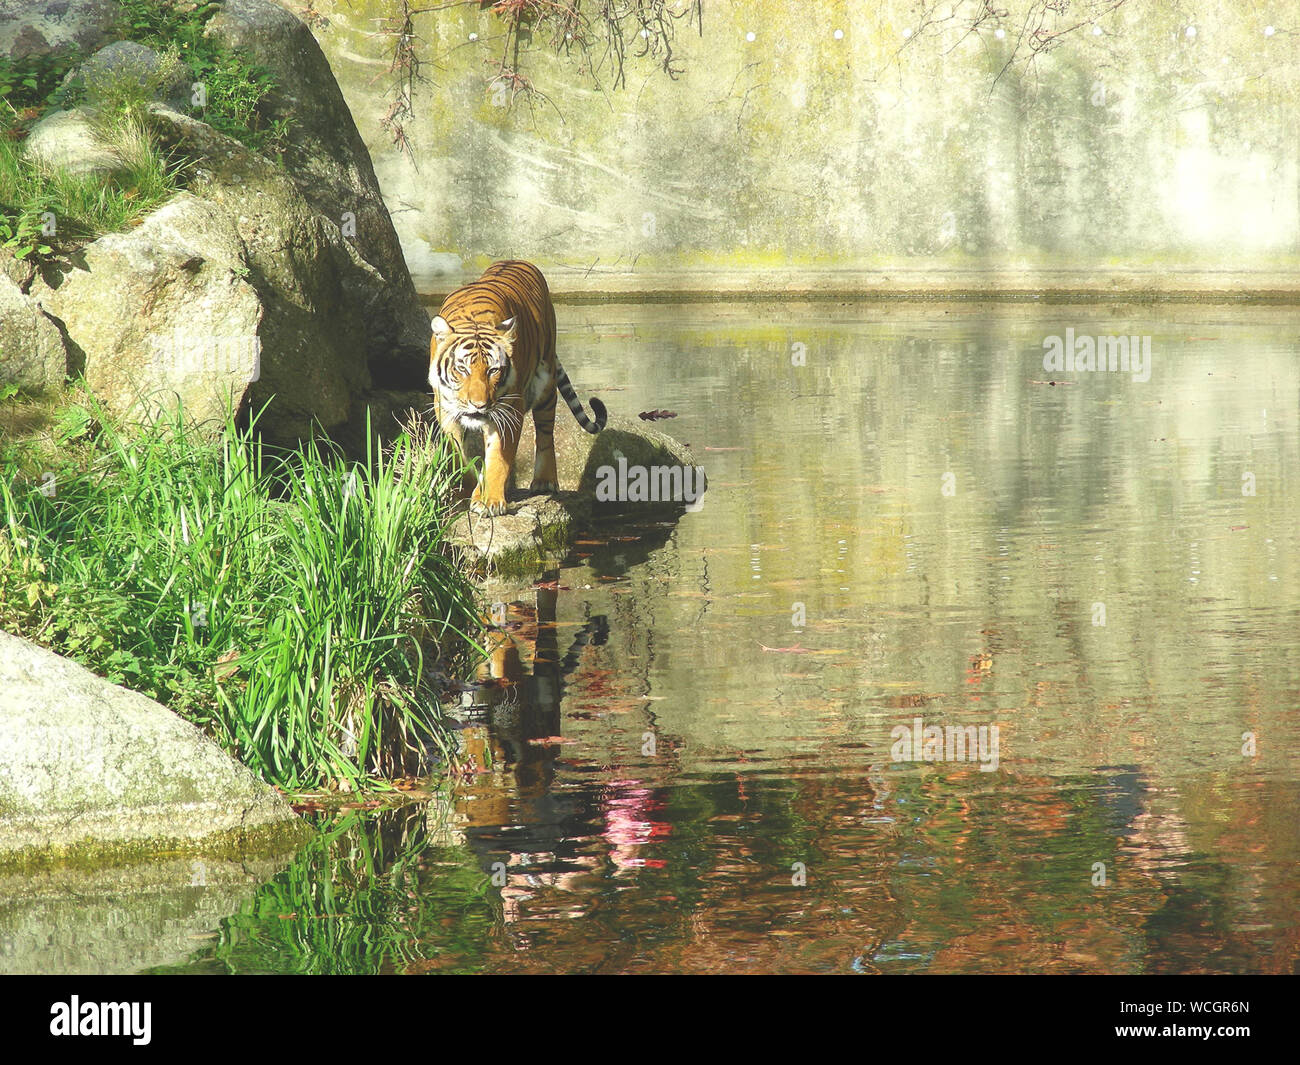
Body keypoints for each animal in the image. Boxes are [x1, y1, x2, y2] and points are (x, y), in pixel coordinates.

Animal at [428, 260, 607, 516]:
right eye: (462, 369)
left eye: (493, 370)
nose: (479, 405)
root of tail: (516, 261)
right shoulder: (445, 408)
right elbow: (457, 454)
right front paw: (469, 488)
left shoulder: (508, 411)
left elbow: (497, 458)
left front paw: (489, 500)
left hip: (546, 385)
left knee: (545, 435)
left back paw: (544, 481)